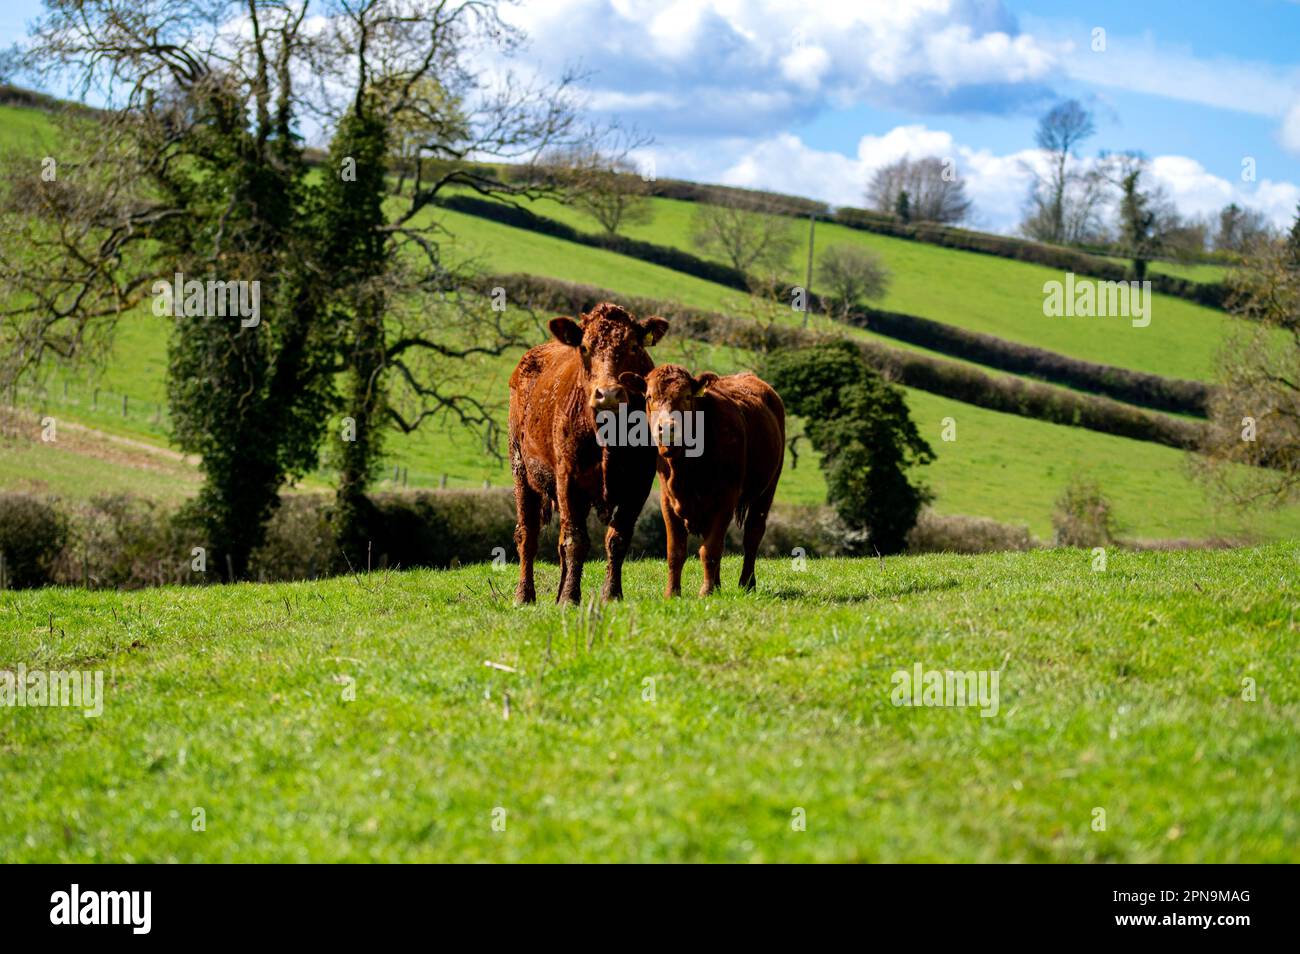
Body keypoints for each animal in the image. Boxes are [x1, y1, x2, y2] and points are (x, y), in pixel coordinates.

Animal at [508, 301, 669, 605]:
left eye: (633, 346)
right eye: (584, 347)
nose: (608, 394)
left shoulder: (639, 482)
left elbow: (617, 538)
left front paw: (611, 594)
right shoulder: (568, 477)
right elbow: (577, 541)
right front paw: (571, 598)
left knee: (559, 541)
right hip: (520, 468)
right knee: (527, 534)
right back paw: (524, 594)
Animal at [628, 365, 785, 597]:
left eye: (686, 396)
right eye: (649, 396)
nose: (667, 427)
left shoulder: (725, 498)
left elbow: (710, 550)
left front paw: (706, 592)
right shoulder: (668, 501)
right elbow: (676, 551)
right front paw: (672, 593)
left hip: (767, 489)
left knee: (752, 535)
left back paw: (747, 583)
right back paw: (718, 585)